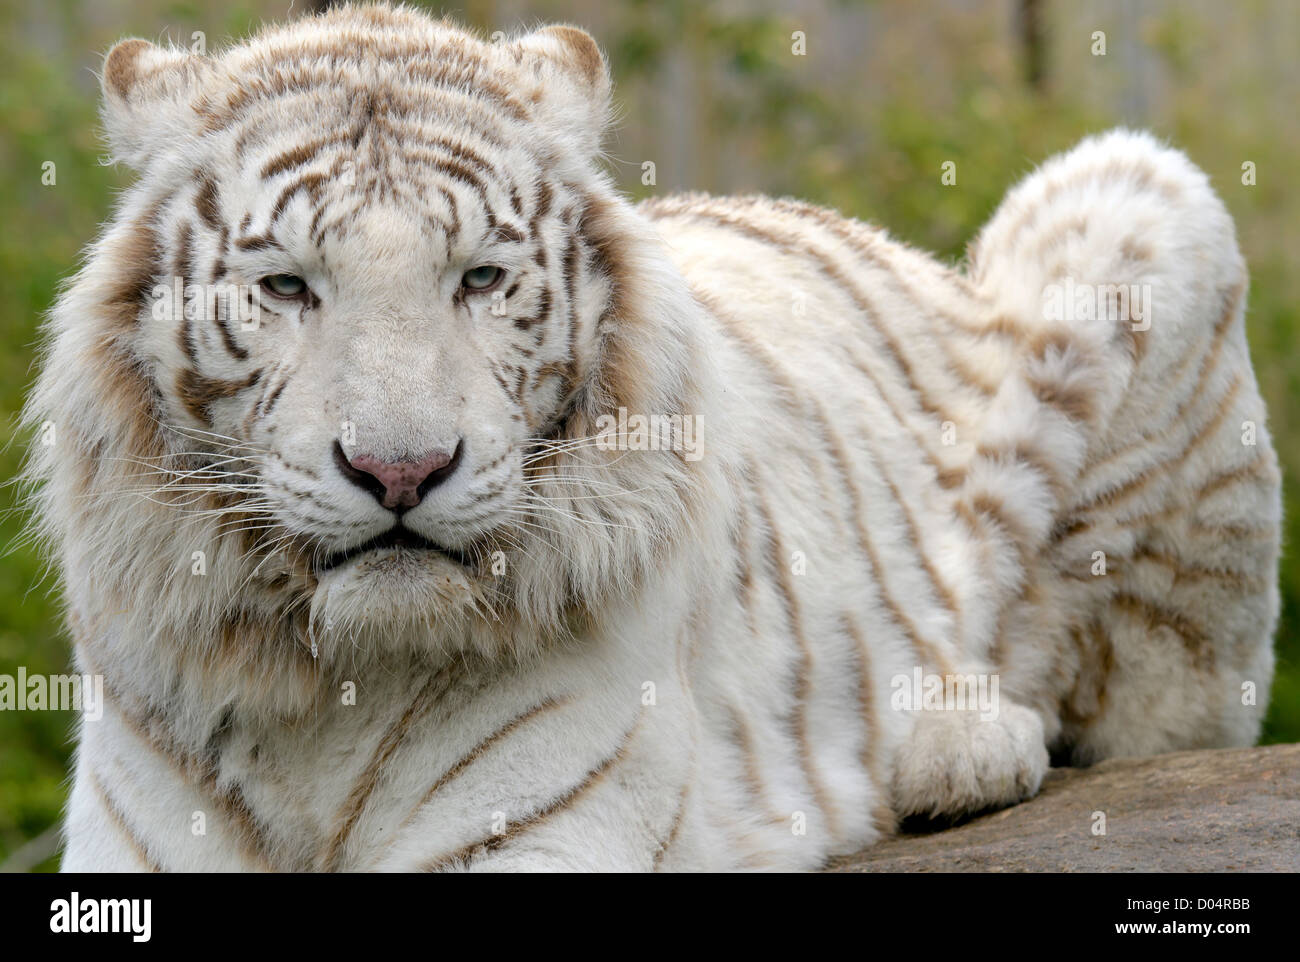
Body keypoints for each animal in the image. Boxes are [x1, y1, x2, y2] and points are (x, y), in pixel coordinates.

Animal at [23, 2, 1279, 872]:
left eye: (480, 278)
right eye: (287, 286)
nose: (400, 471)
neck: (335, 678)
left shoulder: (542, 826)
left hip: (1138, 195)